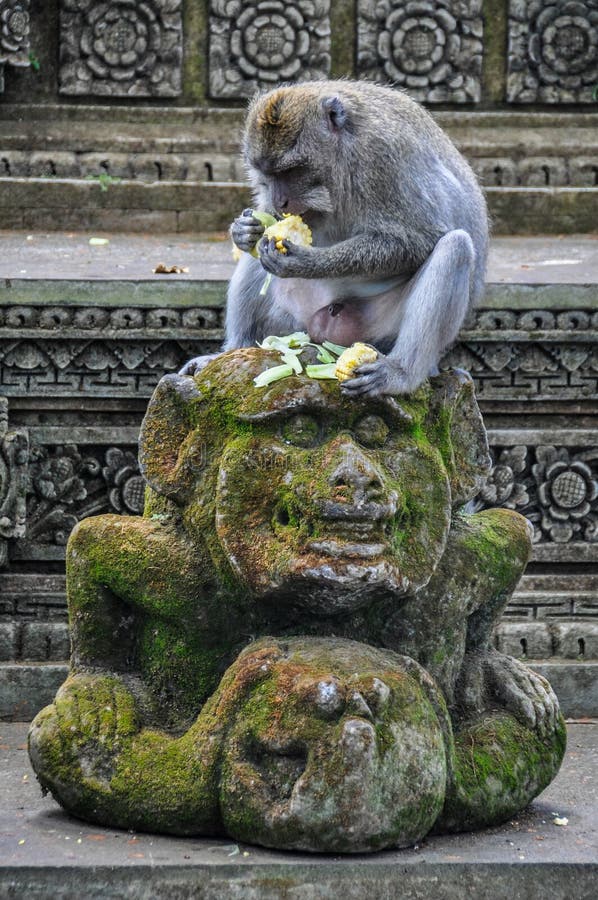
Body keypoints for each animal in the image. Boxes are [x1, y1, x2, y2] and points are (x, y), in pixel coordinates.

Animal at [180, 80, 489, 397]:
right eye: (268, 174)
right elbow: (269, 229)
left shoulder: (382, 158)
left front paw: (306, 262)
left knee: (455, 247)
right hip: (295, 318)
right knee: (257, 259)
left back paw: (400, 374)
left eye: (292, 171)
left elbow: (421, 238)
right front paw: (244, 230)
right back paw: (234, 348)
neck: (341, 155)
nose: (280, 201)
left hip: (380, 332)